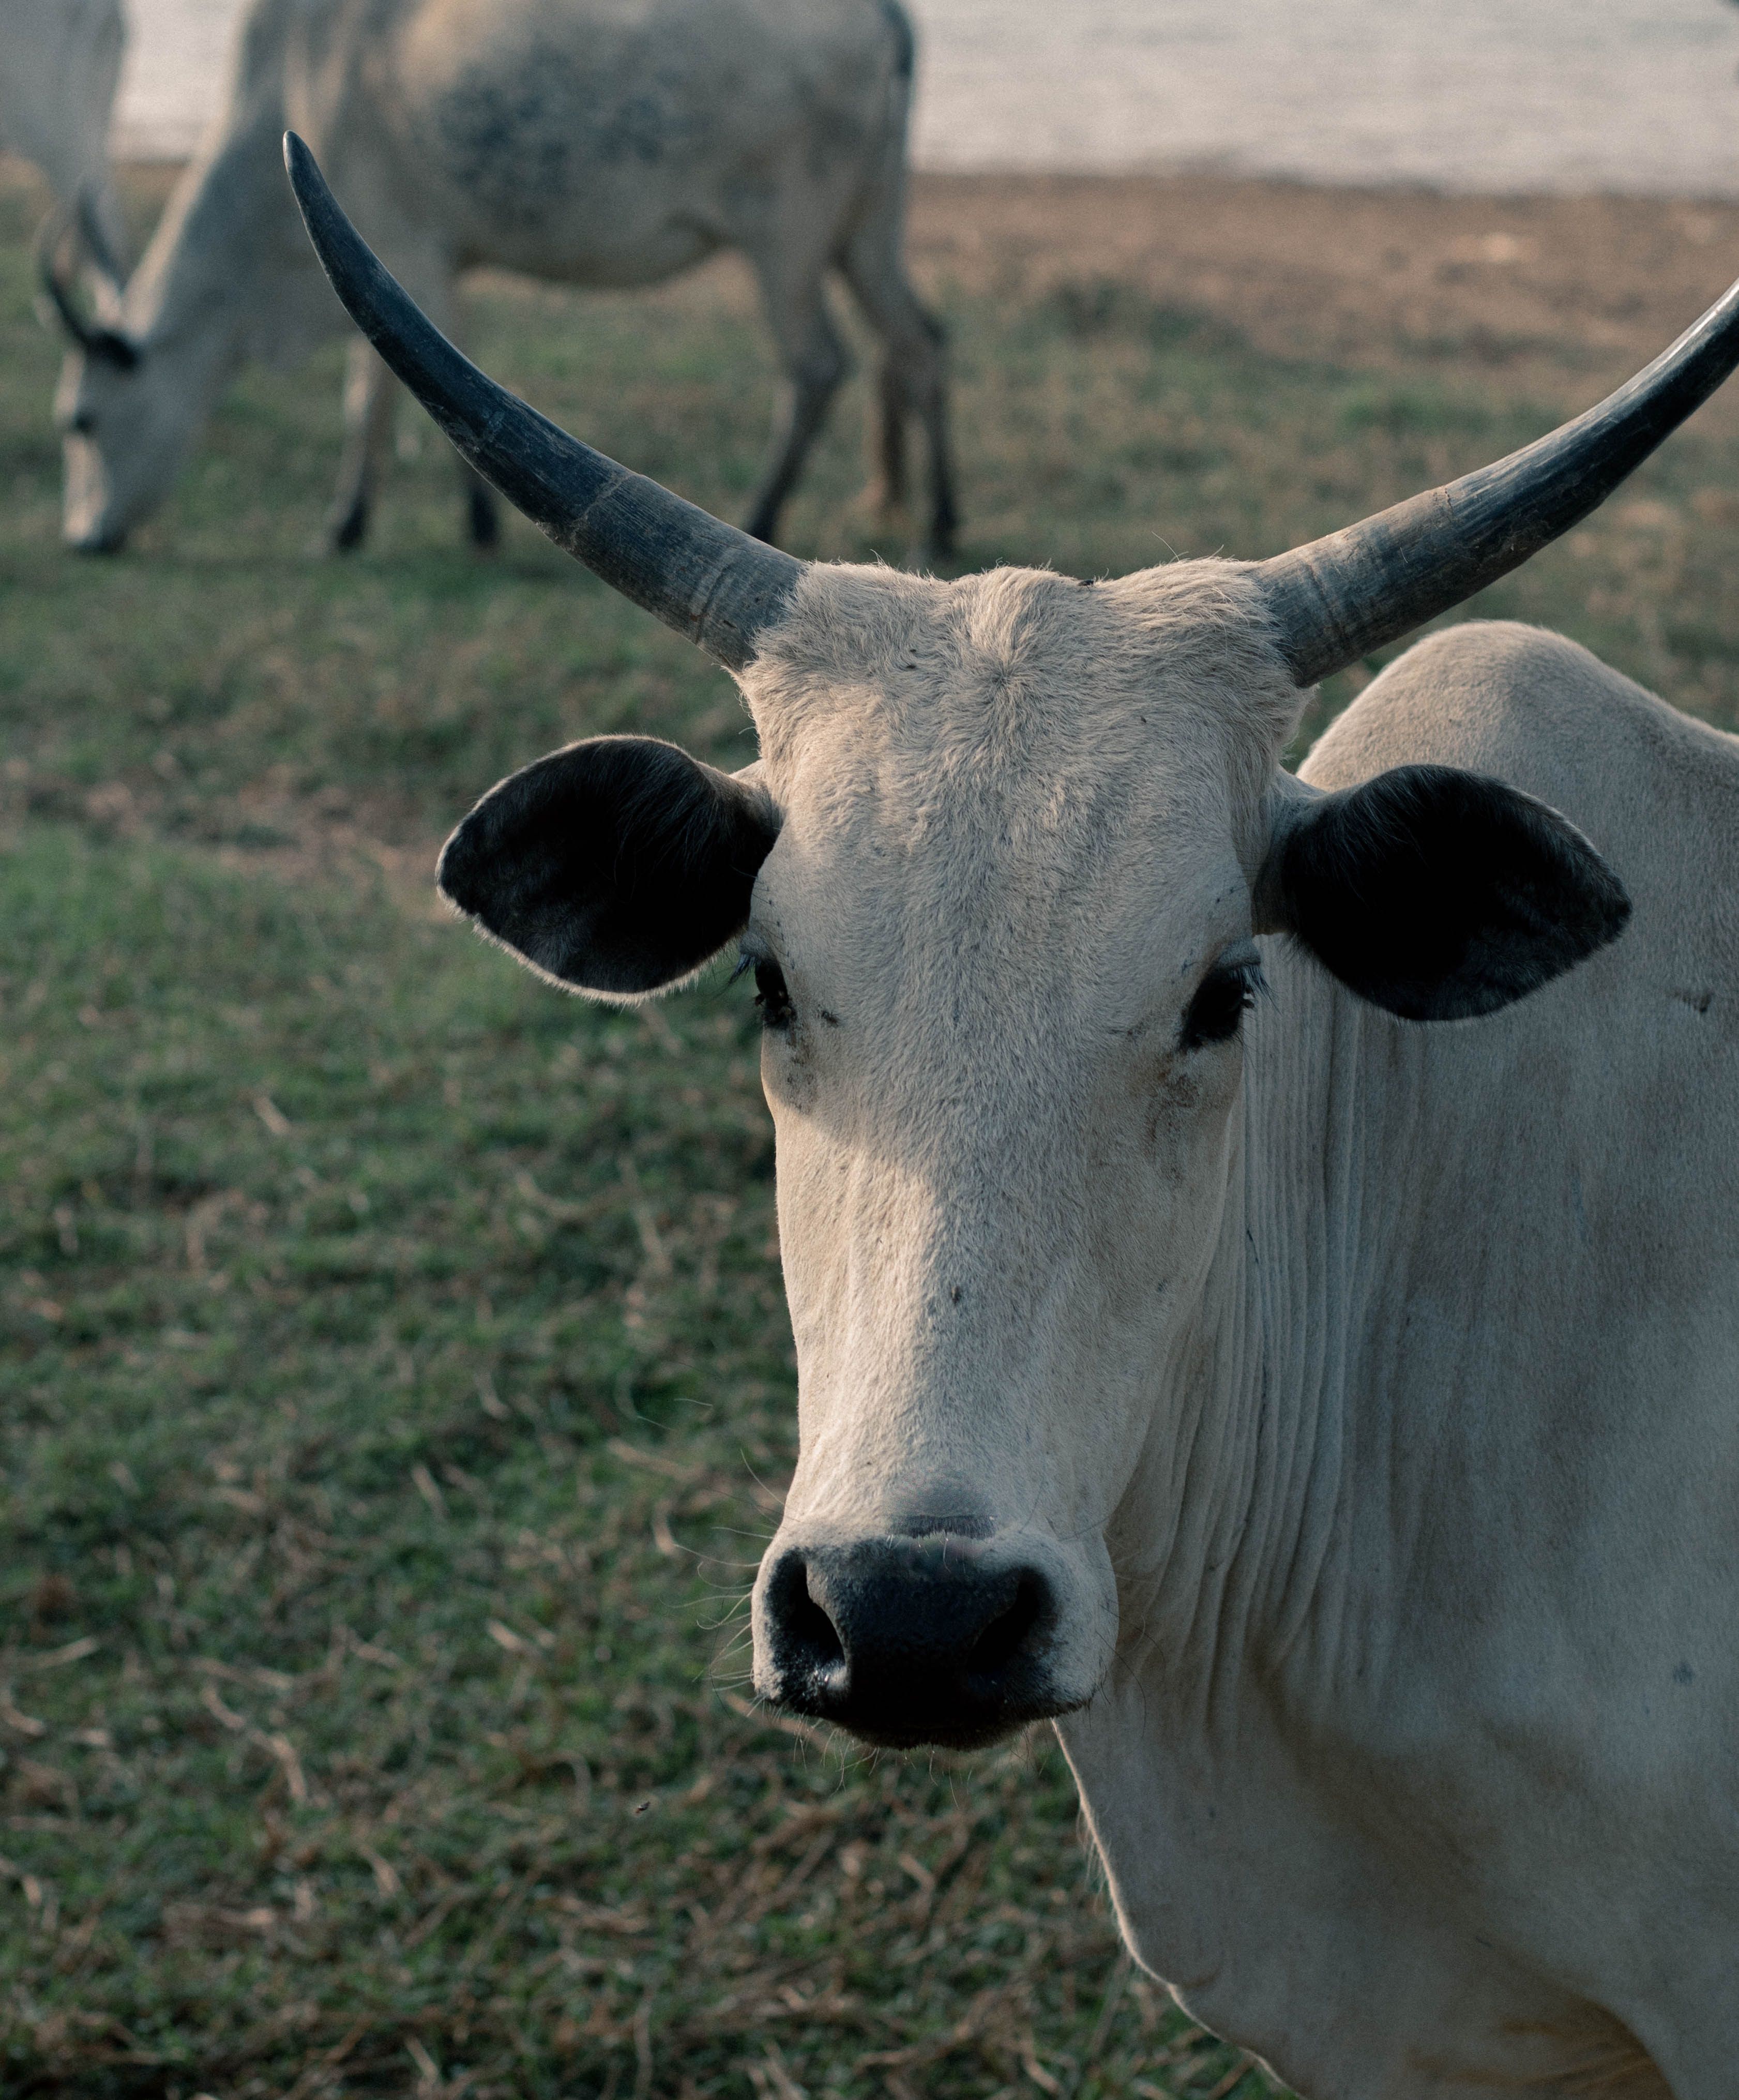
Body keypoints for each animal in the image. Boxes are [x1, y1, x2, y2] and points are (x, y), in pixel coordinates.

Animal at [43, 0, 956, 561]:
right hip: (864, 232)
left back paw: (764, 519)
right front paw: (449, 522)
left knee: (815, 367)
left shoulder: (399, 244)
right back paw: (940, 527)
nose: (83, 538)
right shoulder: (431, 265)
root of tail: (881, 16)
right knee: (918, 342)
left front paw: (351, 527)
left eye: (81, 421)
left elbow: (371, 397)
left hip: (785, 240)